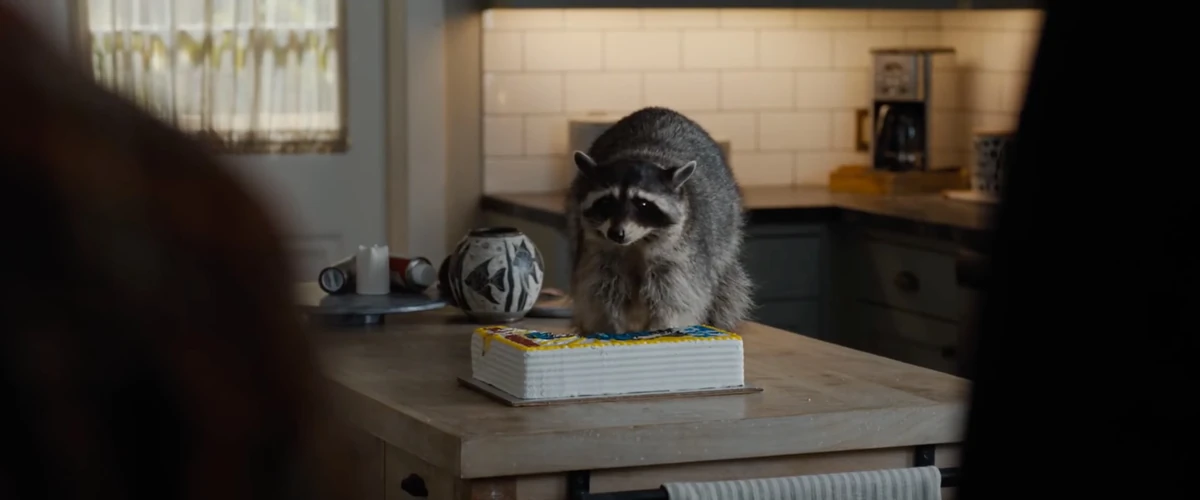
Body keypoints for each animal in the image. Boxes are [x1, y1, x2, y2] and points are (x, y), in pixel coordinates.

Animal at [565, 107, 753, 334]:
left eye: (643, 204)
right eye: (607, 202)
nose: (616, 233)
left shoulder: (682, 255)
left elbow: (677, 297)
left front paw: (663, 327)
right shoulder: (596, 251)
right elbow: (599, 293)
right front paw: (608, 328)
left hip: (727, 235)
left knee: (728, 291)